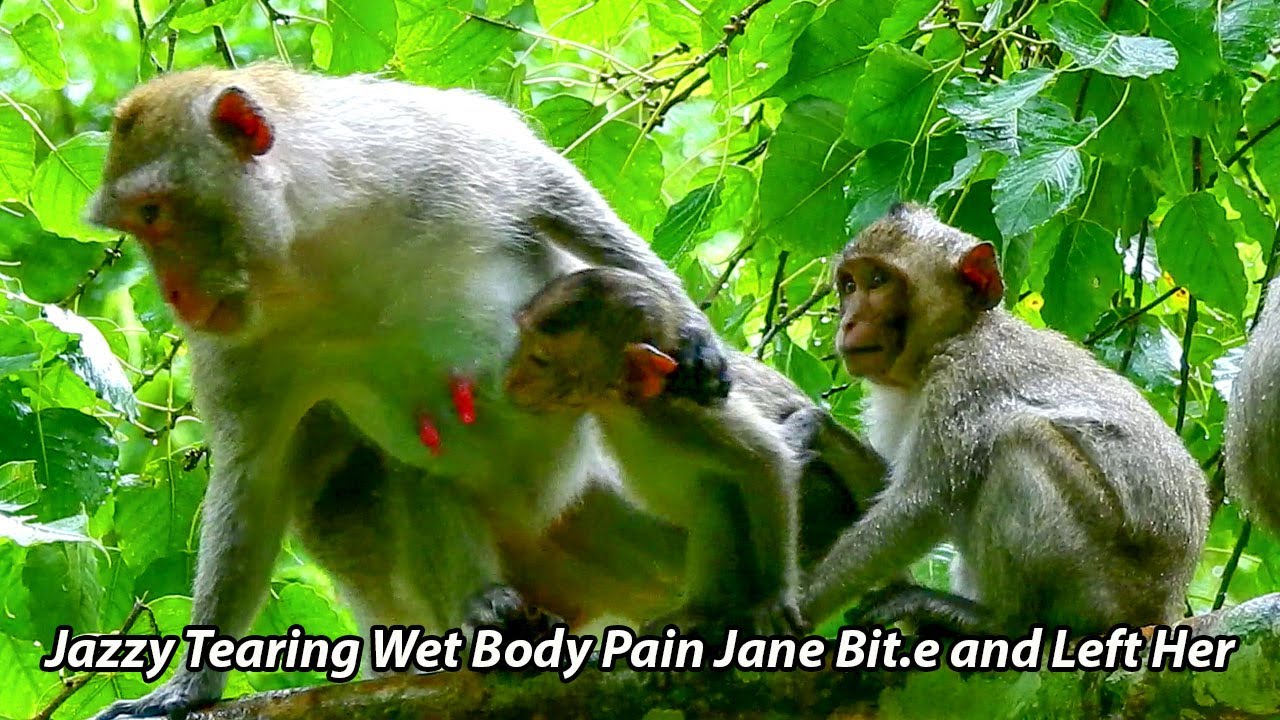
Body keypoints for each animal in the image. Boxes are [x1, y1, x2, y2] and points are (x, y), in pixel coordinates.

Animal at [86, 64, 733, 720]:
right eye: (137, 222)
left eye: (153, 212)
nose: (173, 294)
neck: (312, 254)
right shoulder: (240, 346)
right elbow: (255, 470)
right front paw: (190, 686)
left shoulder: (420, 151)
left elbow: (553, 195)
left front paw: (690, 334)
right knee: (396, 476)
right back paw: (488, 615)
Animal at [802, 203, 1210, 636]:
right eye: (849, 285)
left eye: (878, 281)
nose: (848, 322)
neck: (952, 338)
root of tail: (1163, 605)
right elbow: (884, 482)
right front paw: (815, 429)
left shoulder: (964, 382)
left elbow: (920, 503)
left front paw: (795, 605)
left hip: (1103, 584)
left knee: (1018, 437)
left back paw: (999, 619)